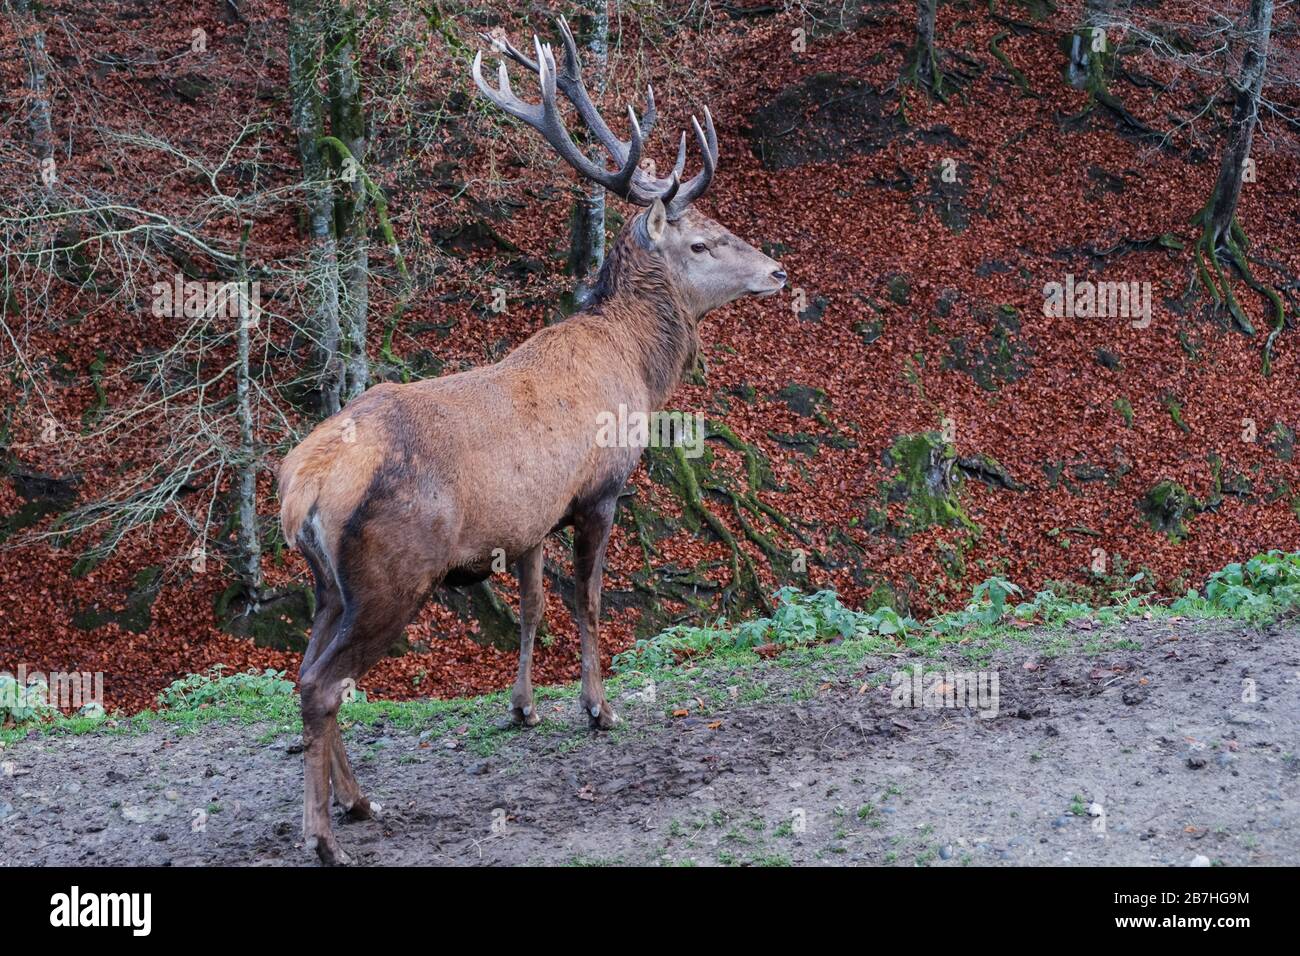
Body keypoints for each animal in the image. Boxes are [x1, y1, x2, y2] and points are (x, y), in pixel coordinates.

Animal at [276, 16, 786, 865]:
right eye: (703, 242)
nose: (777, 270)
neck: (636, 368)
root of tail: (299, 489)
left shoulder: (529, 520)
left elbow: (534, 606)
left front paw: (523, 707)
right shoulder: (600, 488)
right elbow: (588, 600)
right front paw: (598, 708)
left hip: (327, 583)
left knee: (309, 673)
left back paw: (359, 801)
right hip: (392, 574)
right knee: (321, 684)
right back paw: (324, 834)